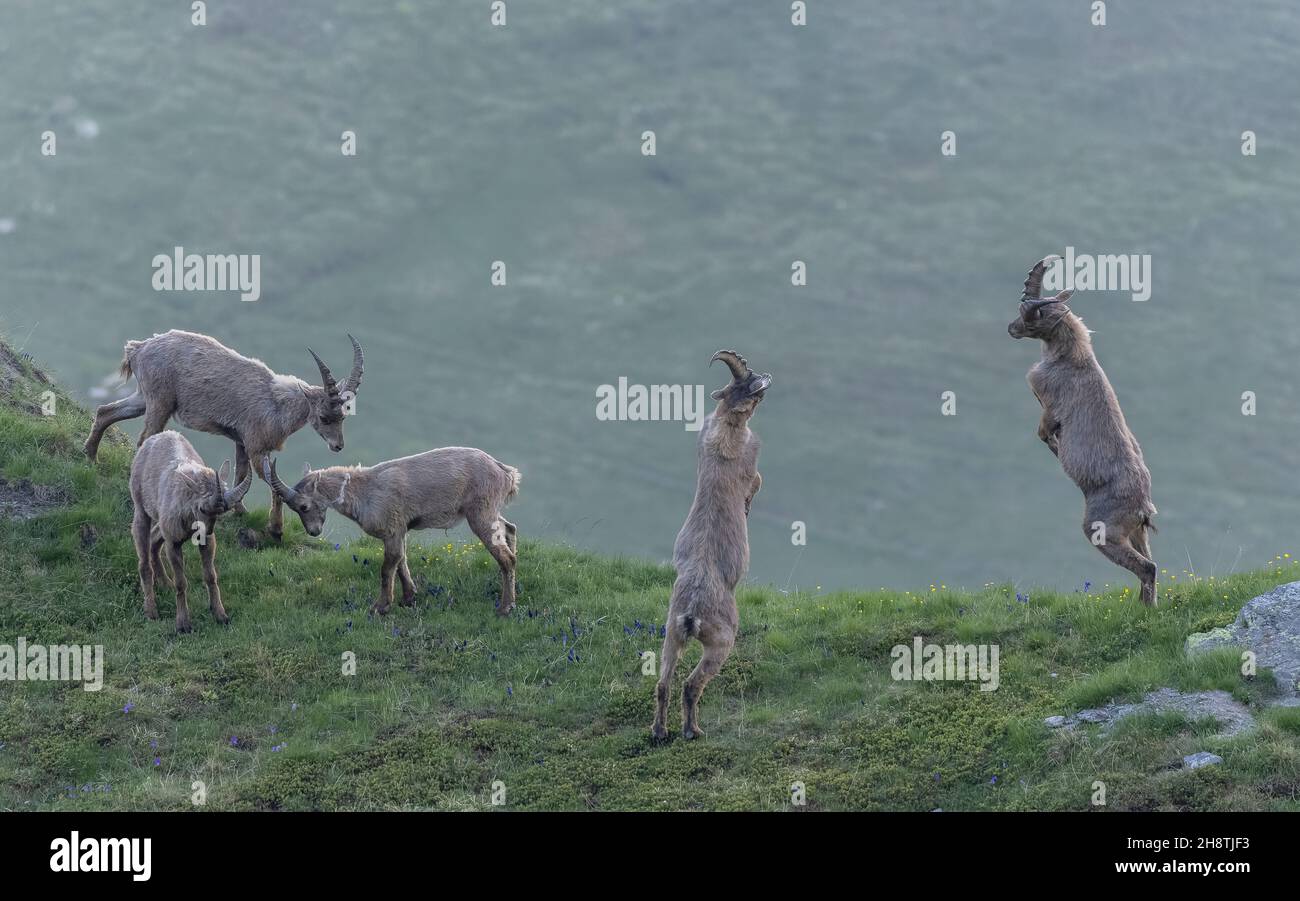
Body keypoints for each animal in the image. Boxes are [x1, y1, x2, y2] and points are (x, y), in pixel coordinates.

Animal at [85, 329, 363, 540]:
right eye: (325, 417)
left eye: (343, 415)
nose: (338, 446)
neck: (277, 403)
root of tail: (138, 349)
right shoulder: (256, 446)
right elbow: (274, 486)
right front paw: (275, 529)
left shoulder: (241, 442)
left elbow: (241, 474)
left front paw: (240, 511)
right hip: (159, 402)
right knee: (144, 438)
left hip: (144, 398)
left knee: (105, 411)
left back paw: (90, 456)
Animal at [129, 430, 252, 632]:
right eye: (202, 508)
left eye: (220, 513)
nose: (204, 533)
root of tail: (159, 436)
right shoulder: (173, 543)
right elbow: (181, 582)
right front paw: (183, 624)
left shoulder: (208, 543)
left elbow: (210, 576)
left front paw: (220, 615)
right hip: (141, 510)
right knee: (144, 560)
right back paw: (151, 610)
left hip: (162, 523)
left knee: (154, 540)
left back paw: (165, 583)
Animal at [262, 447, 521, 615]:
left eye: (304, 506)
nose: (314, 531)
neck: (363, 491)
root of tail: (505, 473)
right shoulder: (400, 531)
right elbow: (402, 562)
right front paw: (408, 598)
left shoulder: (392, 528)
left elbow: (388, 568)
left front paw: (380, 607)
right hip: (488, 511)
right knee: (510, 529)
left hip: (480, 513)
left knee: (506, 558)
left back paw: (505, 607)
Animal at [652, 350, 769, 741]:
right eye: (750, 379)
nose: (767, 377)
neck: (724, 430)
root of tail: (691, 612)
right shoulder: (751, 463)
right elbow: (755, 481)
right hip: (720, 641)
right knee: (691, 684)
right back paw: (693, 731)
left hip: (671, 634)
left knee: (663, 682)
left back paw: (660, 732)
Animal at [1009, 256, 1158, 605]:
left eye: (1029, 315)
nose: (1011, 328)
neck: (1071, 357)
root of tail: (1142, 507)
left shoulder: (1049, 407)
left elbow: (1044, 431)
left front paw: (1055, 448)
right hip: (1136, 531)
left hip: (1103, 531)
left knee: (1148, 567)